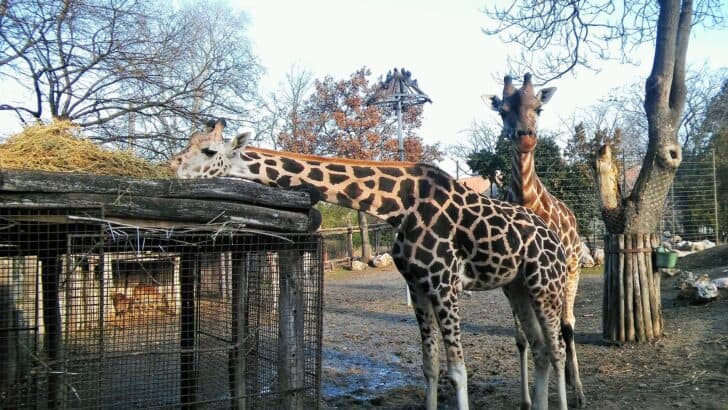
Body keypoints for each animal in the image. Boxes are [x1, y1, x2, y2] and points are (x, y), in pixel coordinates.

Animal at [171, 126, 570, 410]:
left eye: (209, 151)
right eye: (188, 142)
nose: (174, 168)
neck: (399, 205)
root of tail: (557, 239)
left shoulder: (445, 284)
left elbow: (458, 371)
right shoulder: (419, 285)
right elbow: (430, 366)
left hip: (546, 283)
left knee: (558, 349)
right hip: (517, 286)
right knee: (540, 348)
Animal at [484, 73, 587, 408]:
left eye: (538, 108)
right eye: (502, 111)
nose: (525, 138)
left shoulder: (553, 276)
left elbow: (559, 334)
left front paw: (572, 392)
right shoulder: (510, 284)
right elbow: (522, 340)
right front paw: (526, 400)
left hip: (572, 271)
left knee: (568, 326)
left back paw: (577, 388)